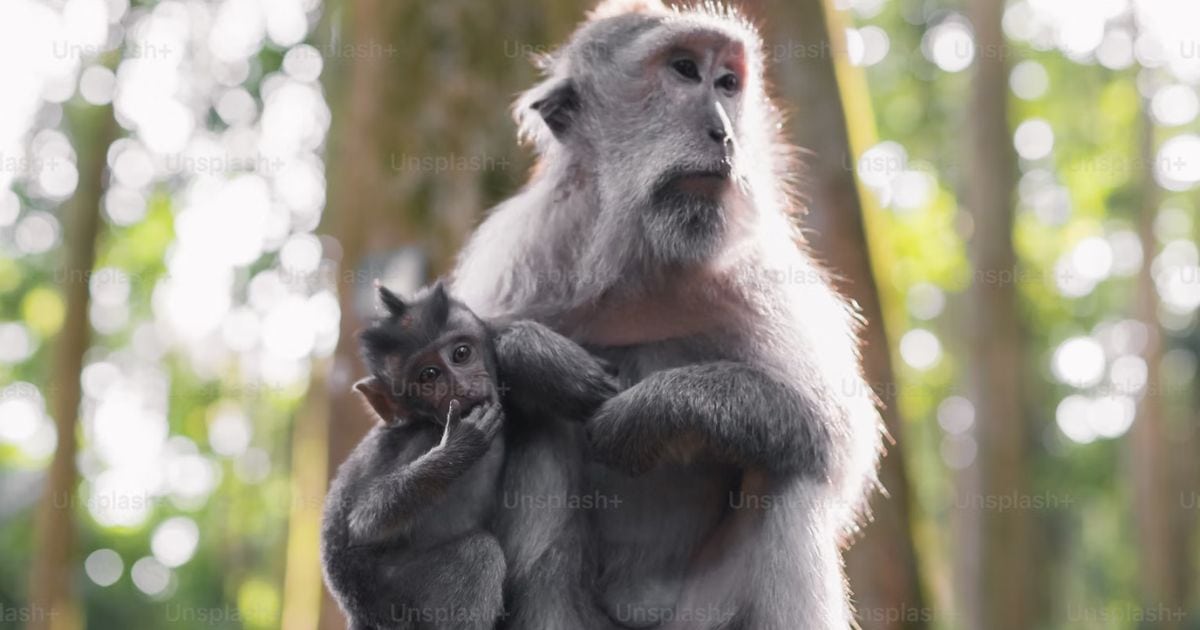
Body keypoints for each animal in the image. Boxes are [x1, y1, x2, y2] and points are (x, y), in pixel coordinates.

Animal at [321, 282, 619, 630]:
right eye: (429, 375)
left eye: (461, 354)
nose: (460, 386)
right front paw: (459, 446)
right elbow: (364, 522)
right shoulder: (419, 438)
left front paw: (527, 349)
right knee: (475, 556)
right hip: (394, 596)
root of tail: (361, 611)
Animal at [451, 1, 884, 629]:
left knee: (791, 463)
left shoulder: (761, 274)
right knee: (541, 430)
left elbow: (840, 437)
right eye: (683, 70)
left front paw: (654, 408)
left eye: (727, 83)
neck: (642, 256)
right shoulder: (523, 250)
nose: (723, 132)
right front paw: (537, 356)